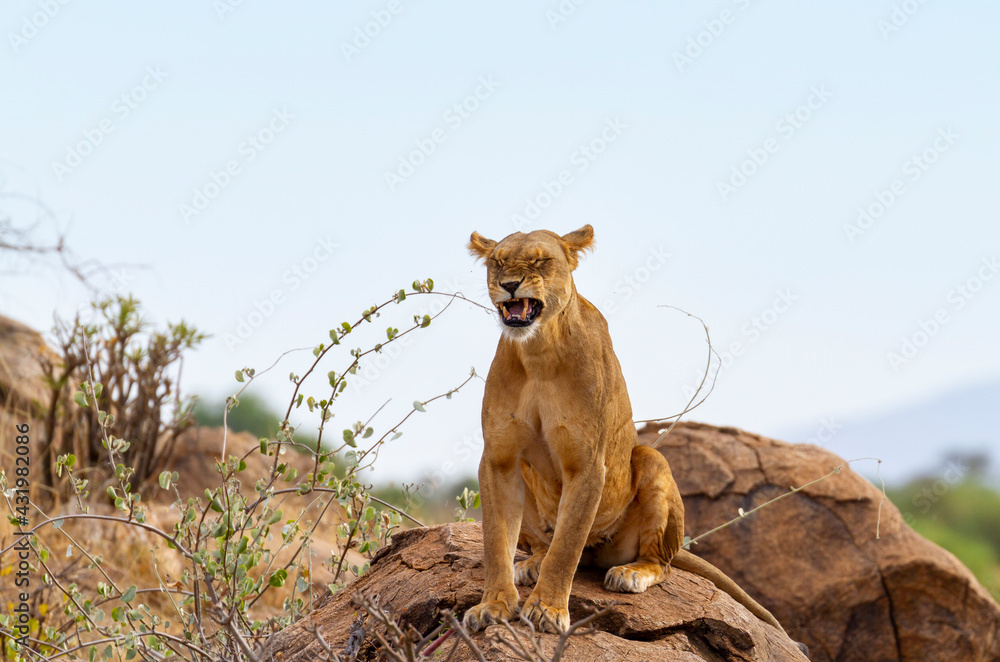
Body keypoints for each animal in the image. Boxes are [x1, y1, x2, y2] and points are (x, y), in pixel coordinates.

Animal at [462, 225, 789, 637]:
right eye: (497, 262)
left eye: (540, 261)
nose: (508, 285)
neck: (537, 352)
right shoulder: (499, 460)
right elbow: (495, 541)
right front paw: (493, 605)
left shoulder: (588, 463)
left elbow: (566, 547)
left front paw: (548, 610)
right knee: (543, 546)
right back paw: (532, 562)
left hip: (651, 461)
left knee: (659, 562)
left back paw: (630, 573)